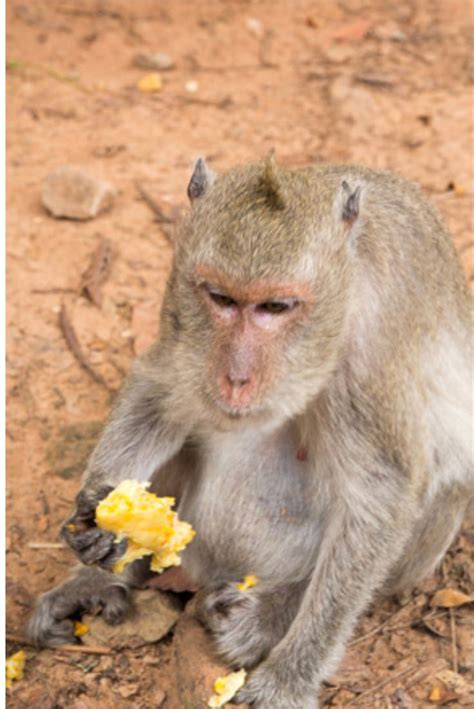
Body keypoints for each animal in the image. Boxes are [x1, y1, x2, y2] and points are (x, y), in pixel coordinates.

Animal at [28, 154, 473, 708]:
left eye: (275, 308)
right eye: (221, 298)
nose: (235, 376)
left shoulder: (370, 334)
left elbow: (384, 489)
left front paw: (290, 674)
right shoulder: (182, 299)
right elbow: (160, 389)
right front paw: (102, 530)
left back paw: (274, 610)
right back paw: (110, 575)